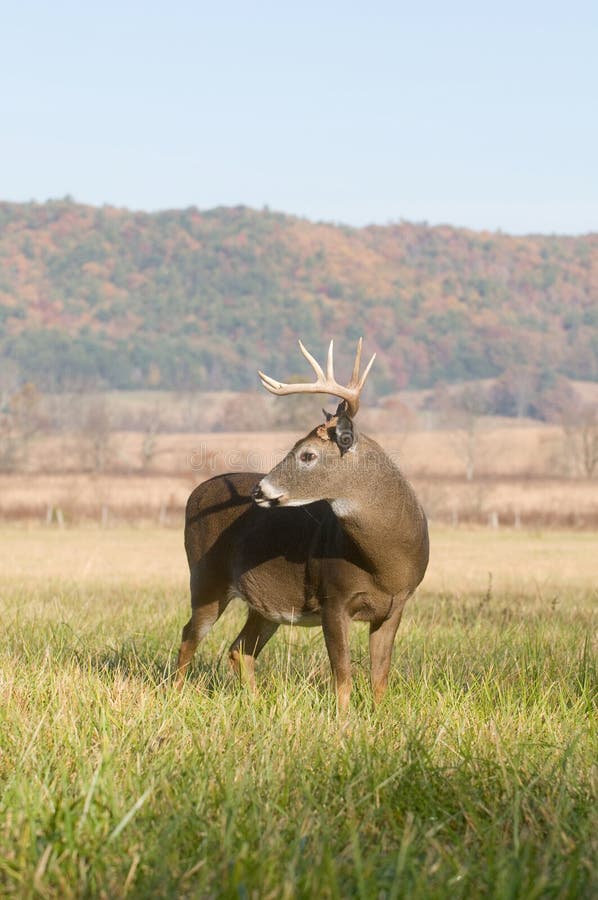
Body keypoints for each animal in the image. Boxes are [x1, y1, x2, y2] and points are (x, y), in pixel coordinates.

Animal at [175, 339, 429, 711]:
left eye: (307, 454)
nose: (259, 490)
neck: (385, 563)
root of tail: (195, 493)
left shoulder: (396, 605)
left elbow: (379, 678)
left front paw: (379, 717)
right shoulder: (334, 598)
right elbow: (343, 675)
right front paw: (343, 719)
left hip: (266, 605)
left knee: (240, 649)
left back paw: (257, 704)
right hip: (206, 577)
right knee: (190, 635)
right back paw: (174, 695)